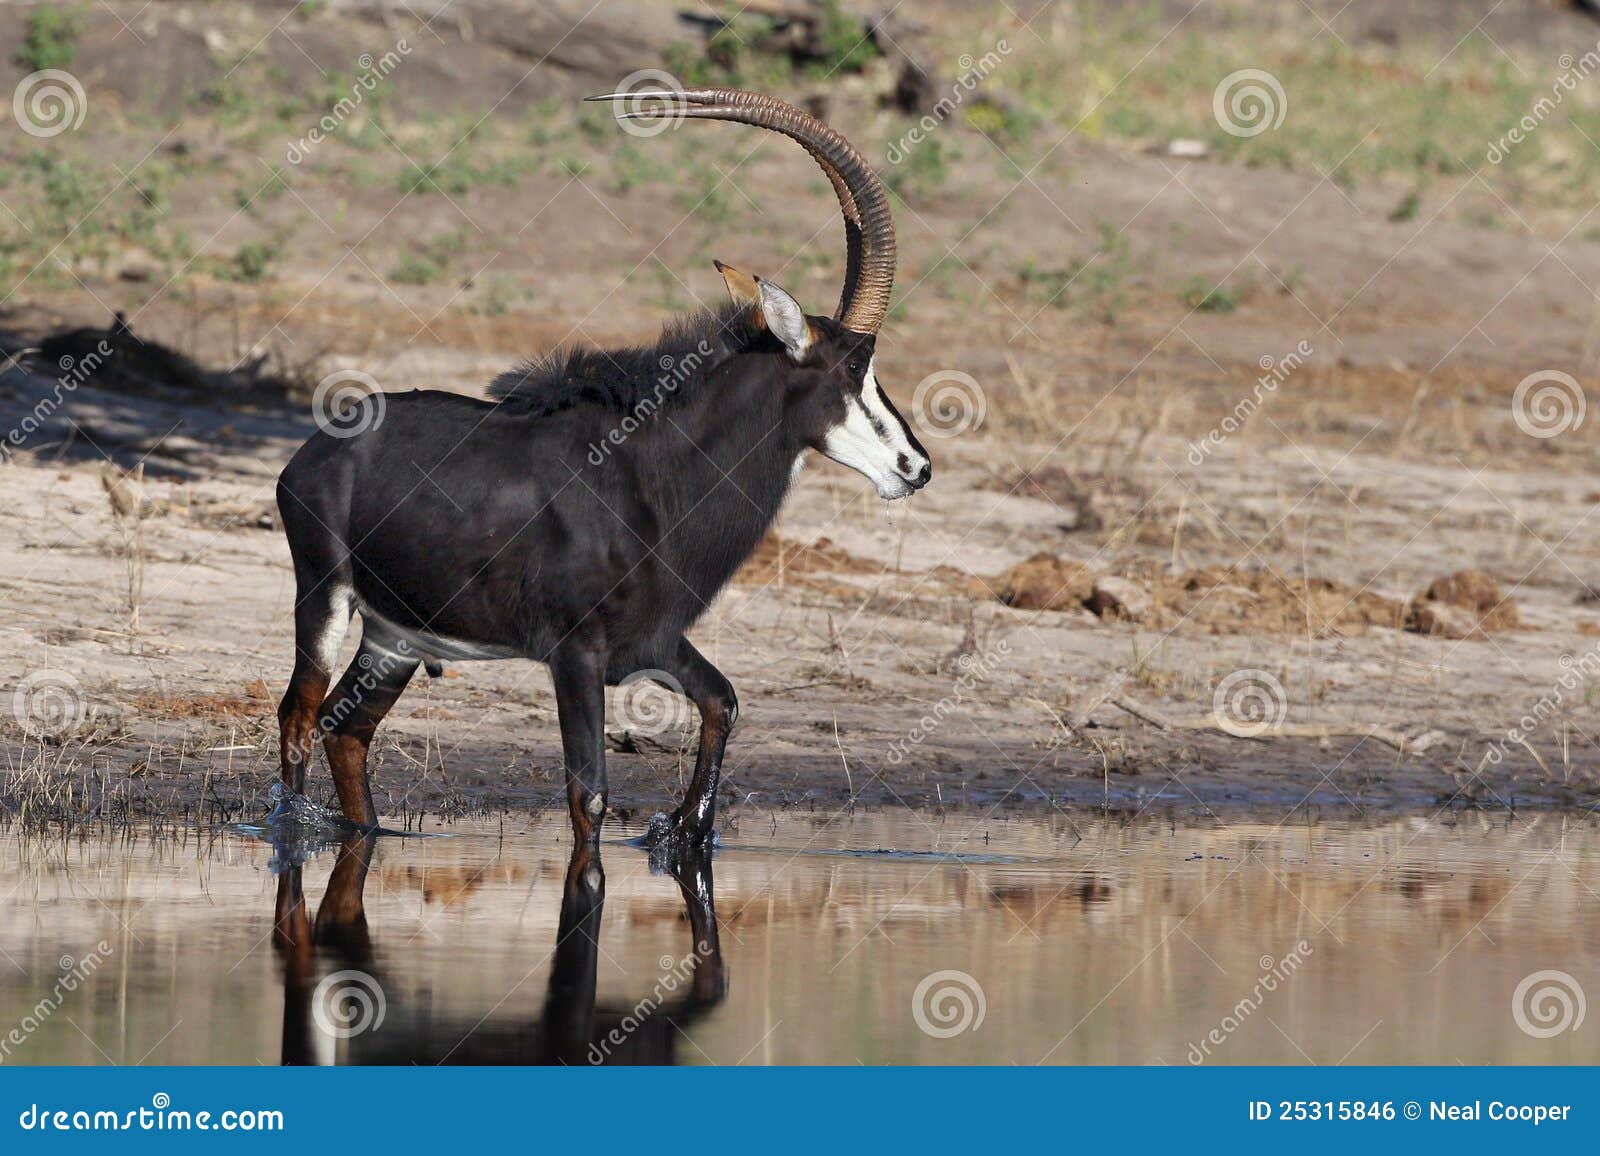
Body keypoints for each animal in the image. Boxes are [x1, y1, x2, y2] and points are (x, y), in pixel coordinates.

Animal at [274, 87, 931, 852]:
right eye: (854, 369)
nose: (916, 466)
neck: (650, 476)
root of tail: (314, 453)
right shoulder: (577, 654)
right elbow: (588, 794)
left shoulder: (652, 643)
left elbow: (725, 702)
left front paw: (680, 830)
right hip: (325, 598)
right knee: (298, 714)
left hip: (395, 637)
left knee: (346, 731)